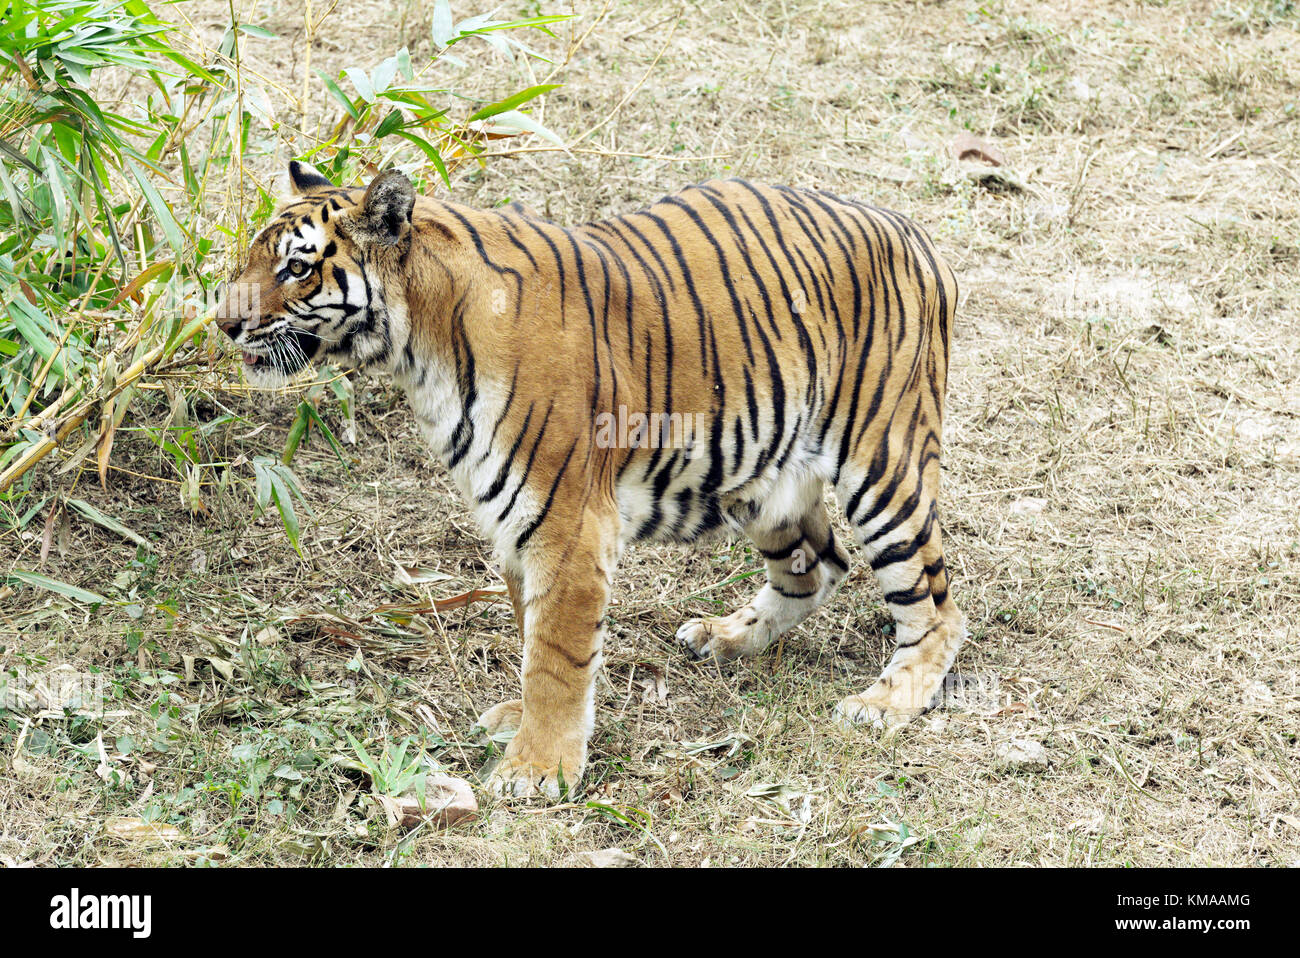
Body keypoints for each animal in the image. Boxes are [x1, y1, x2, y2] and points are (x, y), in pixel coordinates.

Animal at [216, 160, 966, 799]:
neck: (419, 347)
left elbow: (555, 651)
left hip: (883, 461)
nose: (223, 323)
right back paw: (725, 637)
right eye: (252, 257)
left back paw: (886, 702)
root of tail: (909, 228)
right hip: (763, 476)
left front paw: (537, 768)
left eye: (295, 268)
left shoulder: (567, 520)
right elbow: (529, 629)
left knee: (935, 604)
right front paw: (517, 723)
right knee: (819, 563)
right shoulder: (512, 517)